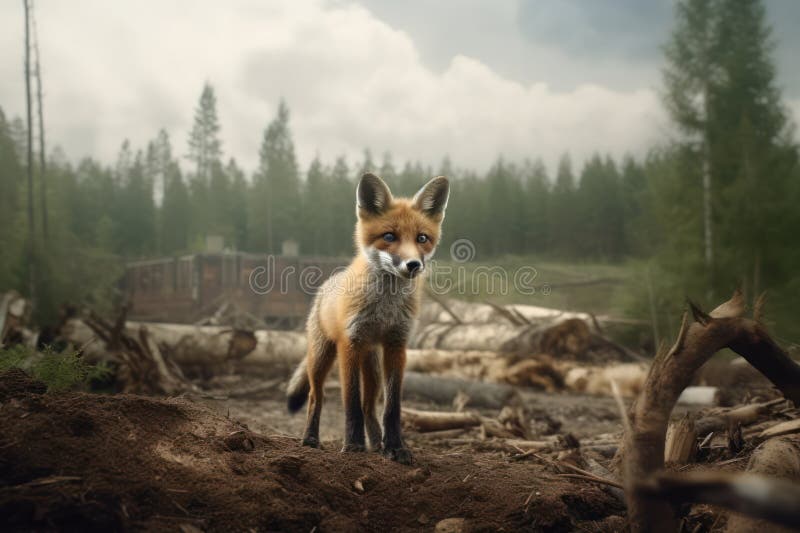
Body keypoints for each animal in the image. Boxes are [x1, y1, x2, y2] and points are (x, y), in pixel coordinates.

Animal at [286, 172, 450, 464]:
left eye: (422, 238)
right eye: (389, 236)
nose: (413, 265)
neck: (384, 307)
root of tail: (326, 284)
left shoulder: (396, 345)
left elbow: (392, 408)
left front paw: (394, 447)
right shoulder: (349, 344)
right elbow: (350, 403)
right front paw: (352, 445)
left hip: (372, 366)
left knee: (370, 405)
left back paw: (376, 444)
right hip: (322, 357)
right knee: (316, 397)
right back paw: (311, 439)